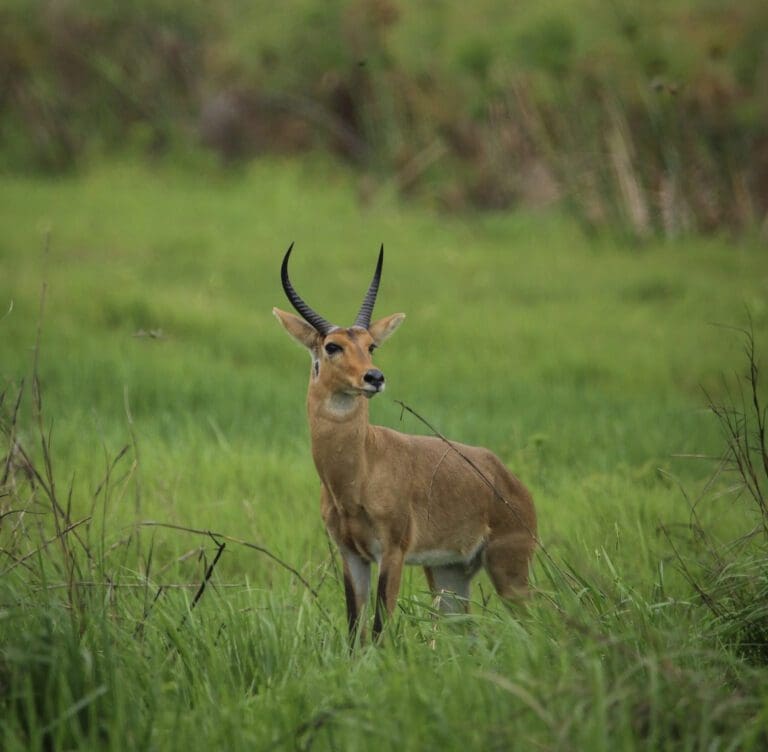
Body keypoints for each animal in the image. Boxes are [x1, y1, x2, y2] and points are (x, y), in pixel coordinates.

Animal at [273, 244, 536, 642]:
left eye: (371, 345)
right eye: (332, 346)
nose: (374, 377)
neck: (359, 472)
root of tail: (510, 479)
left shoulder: (392, 551)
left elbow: (380, 627)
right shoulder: (351, 554)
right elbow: (355, 626)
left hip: (509, 569)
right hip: (450, 571)